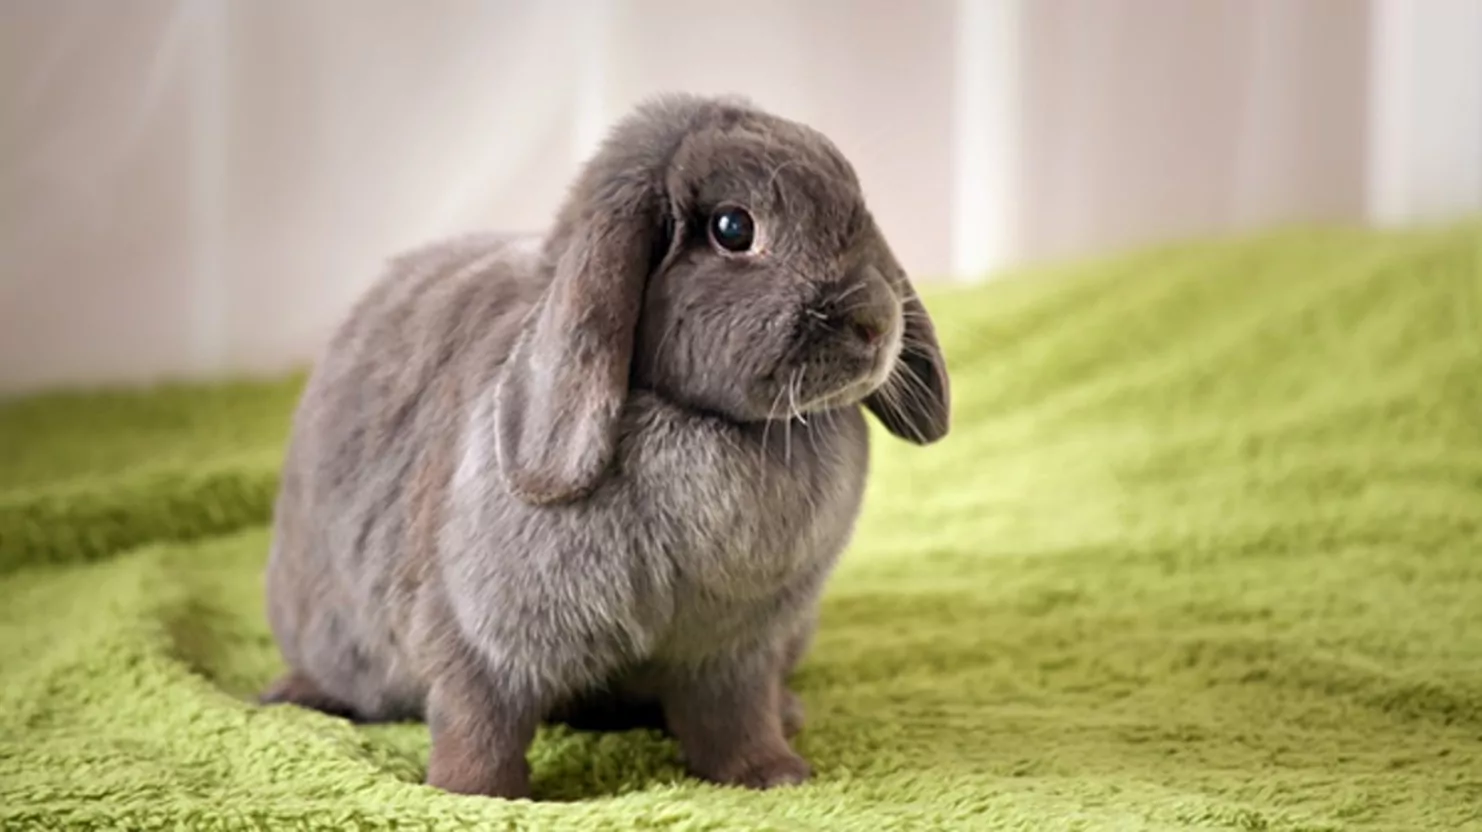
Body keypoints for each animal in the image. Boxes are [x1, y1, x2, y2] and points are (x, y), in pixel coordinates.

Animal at [259, 92, 950, 800]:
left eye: (859, 211)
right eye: (733, 228)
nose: (875, 324)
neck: (706, 421)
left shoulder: (734, 650)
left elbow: (734, 718)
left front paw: (773, 775)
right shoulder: (481, 638)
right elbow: (479, 719)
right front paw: (475, 795)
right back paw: (294, 693)